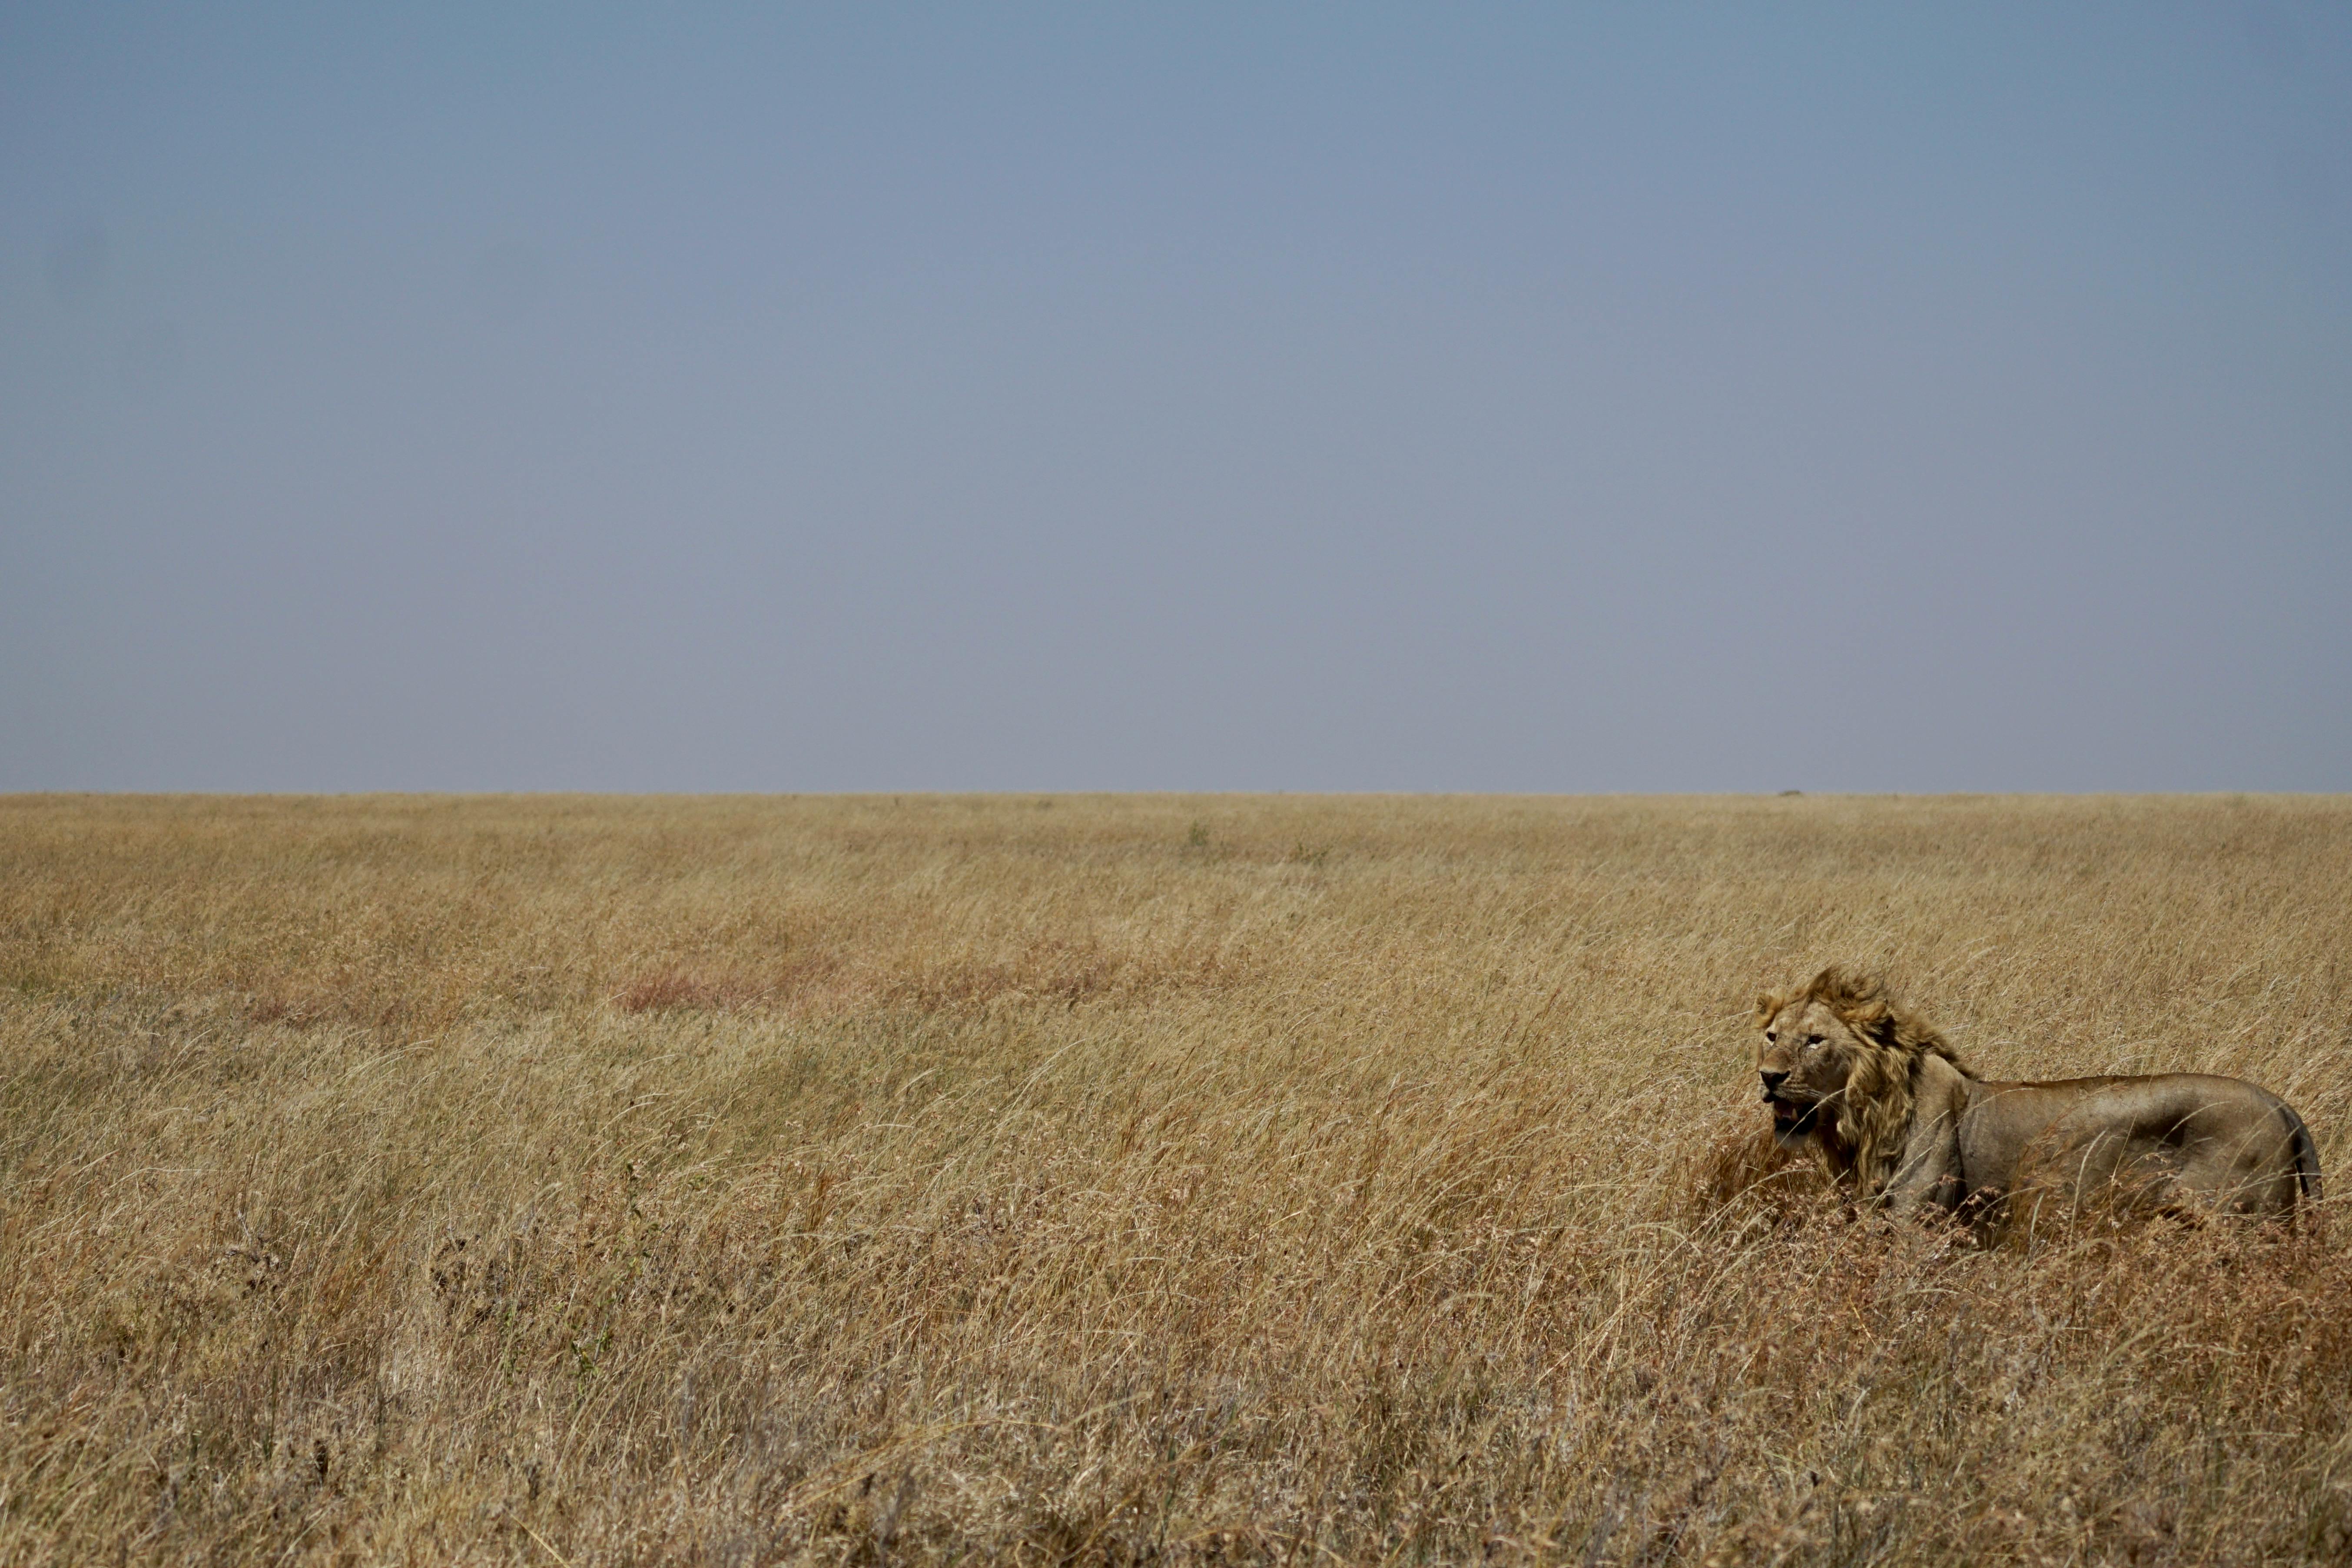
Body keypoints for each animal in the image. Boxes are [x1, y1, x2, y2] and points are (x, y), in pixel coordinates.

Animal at [1751, 967, 2321, 1229]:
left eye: (1815, 1040)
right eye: (1772, 1036)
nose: (1769, 1077)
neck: (1864, 1118)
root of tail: (2279, 1105)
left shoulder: (1919, 1226)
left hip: (2244, 1224)